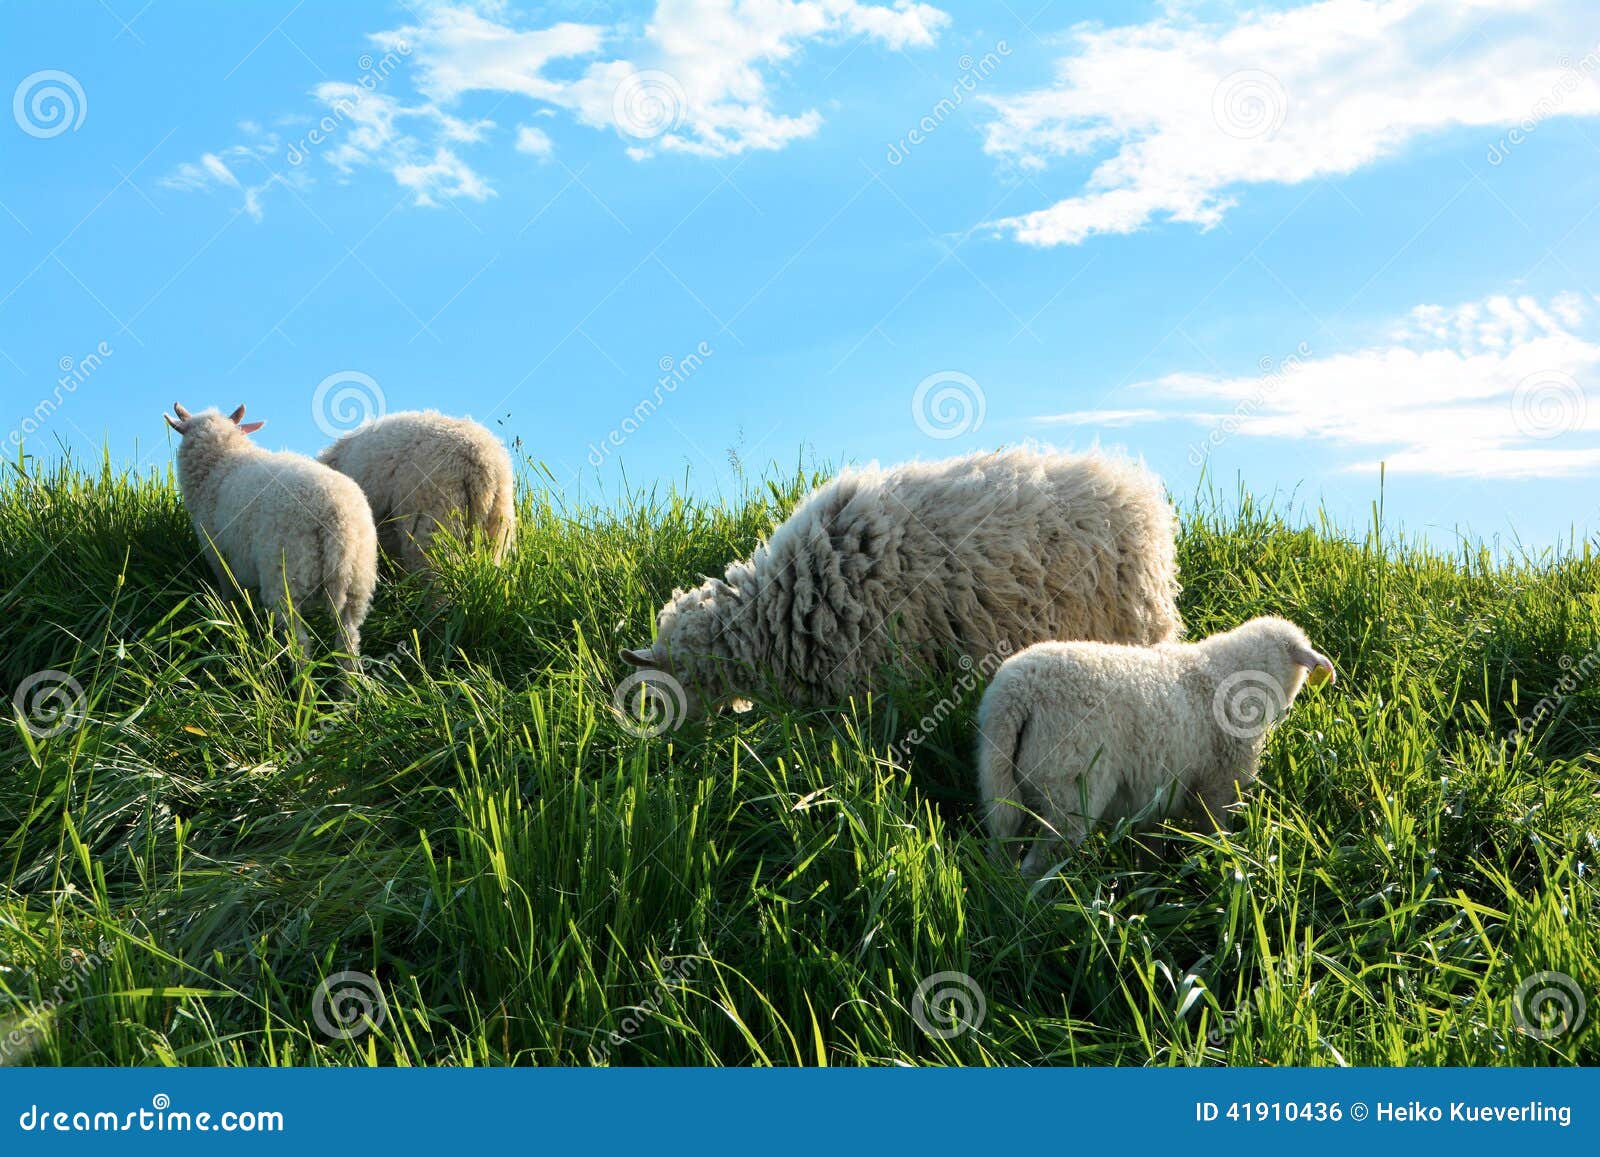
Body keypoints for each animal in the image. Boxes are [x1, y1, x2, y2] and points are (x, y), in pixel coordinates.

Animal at [164, 403, 378, 676]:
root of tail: (336, 518)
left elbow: (229, 596)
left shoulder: (218, 556)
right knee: (348, 643)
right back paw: (347, 687)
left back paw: (301, 686)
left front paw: (228, 619)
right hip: (357, 582)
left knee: (301, 644)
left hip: (286, 577)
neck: (221, 463)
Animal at [975, 616, 1334, 875]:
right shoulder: (1216, 786)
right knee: (1037, 866)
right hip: (1071, 786)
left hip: (1000, 774)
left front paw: (1151, 889)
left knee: (1004, 840)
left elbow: (1150, 851)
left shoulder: (1152, 792)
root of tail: (1019, 692)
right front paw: (1227, 865)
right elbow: (1216, 833)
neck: (1230, 672)